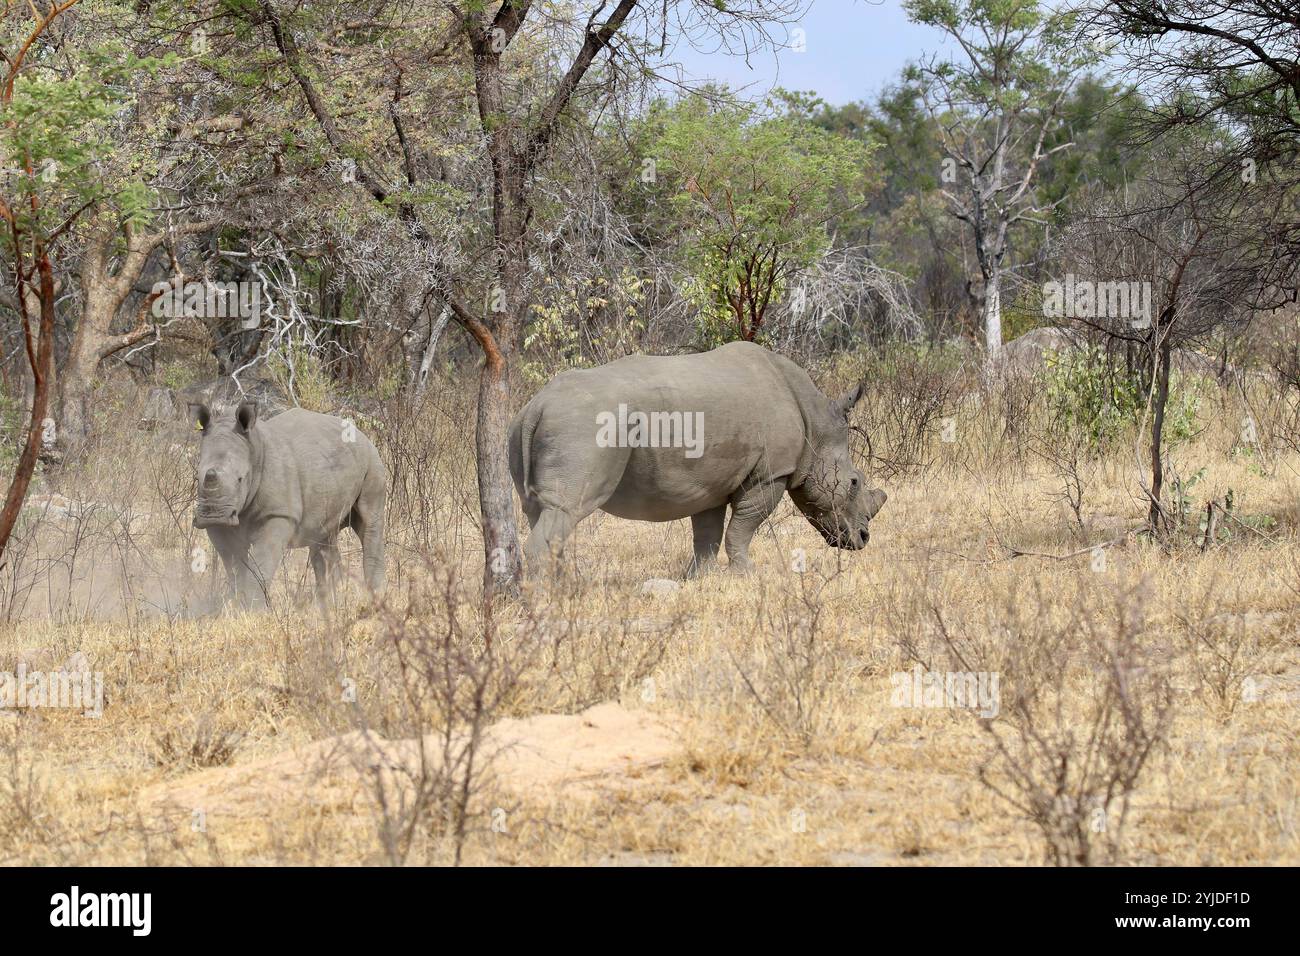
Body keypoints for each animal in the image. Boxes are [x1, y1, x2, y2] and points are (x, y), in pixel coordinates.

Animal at [189, 401, 386, 606]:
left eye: (240, 479)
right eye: (196, 478)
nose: (213, 516)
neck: (254, 450)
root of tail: (360, 433)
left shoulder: (278, 513)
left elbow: (262, 563)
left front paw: (254, 607)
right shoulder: (221, 521)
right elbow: (234, 566)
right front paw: (238, 604)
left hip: (372, 460)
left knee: (369, 521)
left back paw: (375, 597)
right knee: (324, 535)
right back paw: (331, 601)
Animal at [508, 341, 886, 575]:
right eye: (854, 482)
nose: (863, 539)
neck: (816, 422)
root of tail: (536, 406)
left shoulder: (711, 481)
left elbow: (707, 533)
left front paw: (700, 577)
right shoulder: (771, 473)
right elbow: (743, 527)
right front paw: (746, 574)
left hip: (528, 429)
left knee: (540, 511)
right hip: (584, 426)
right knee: (565, 510)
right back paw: (548, 601)